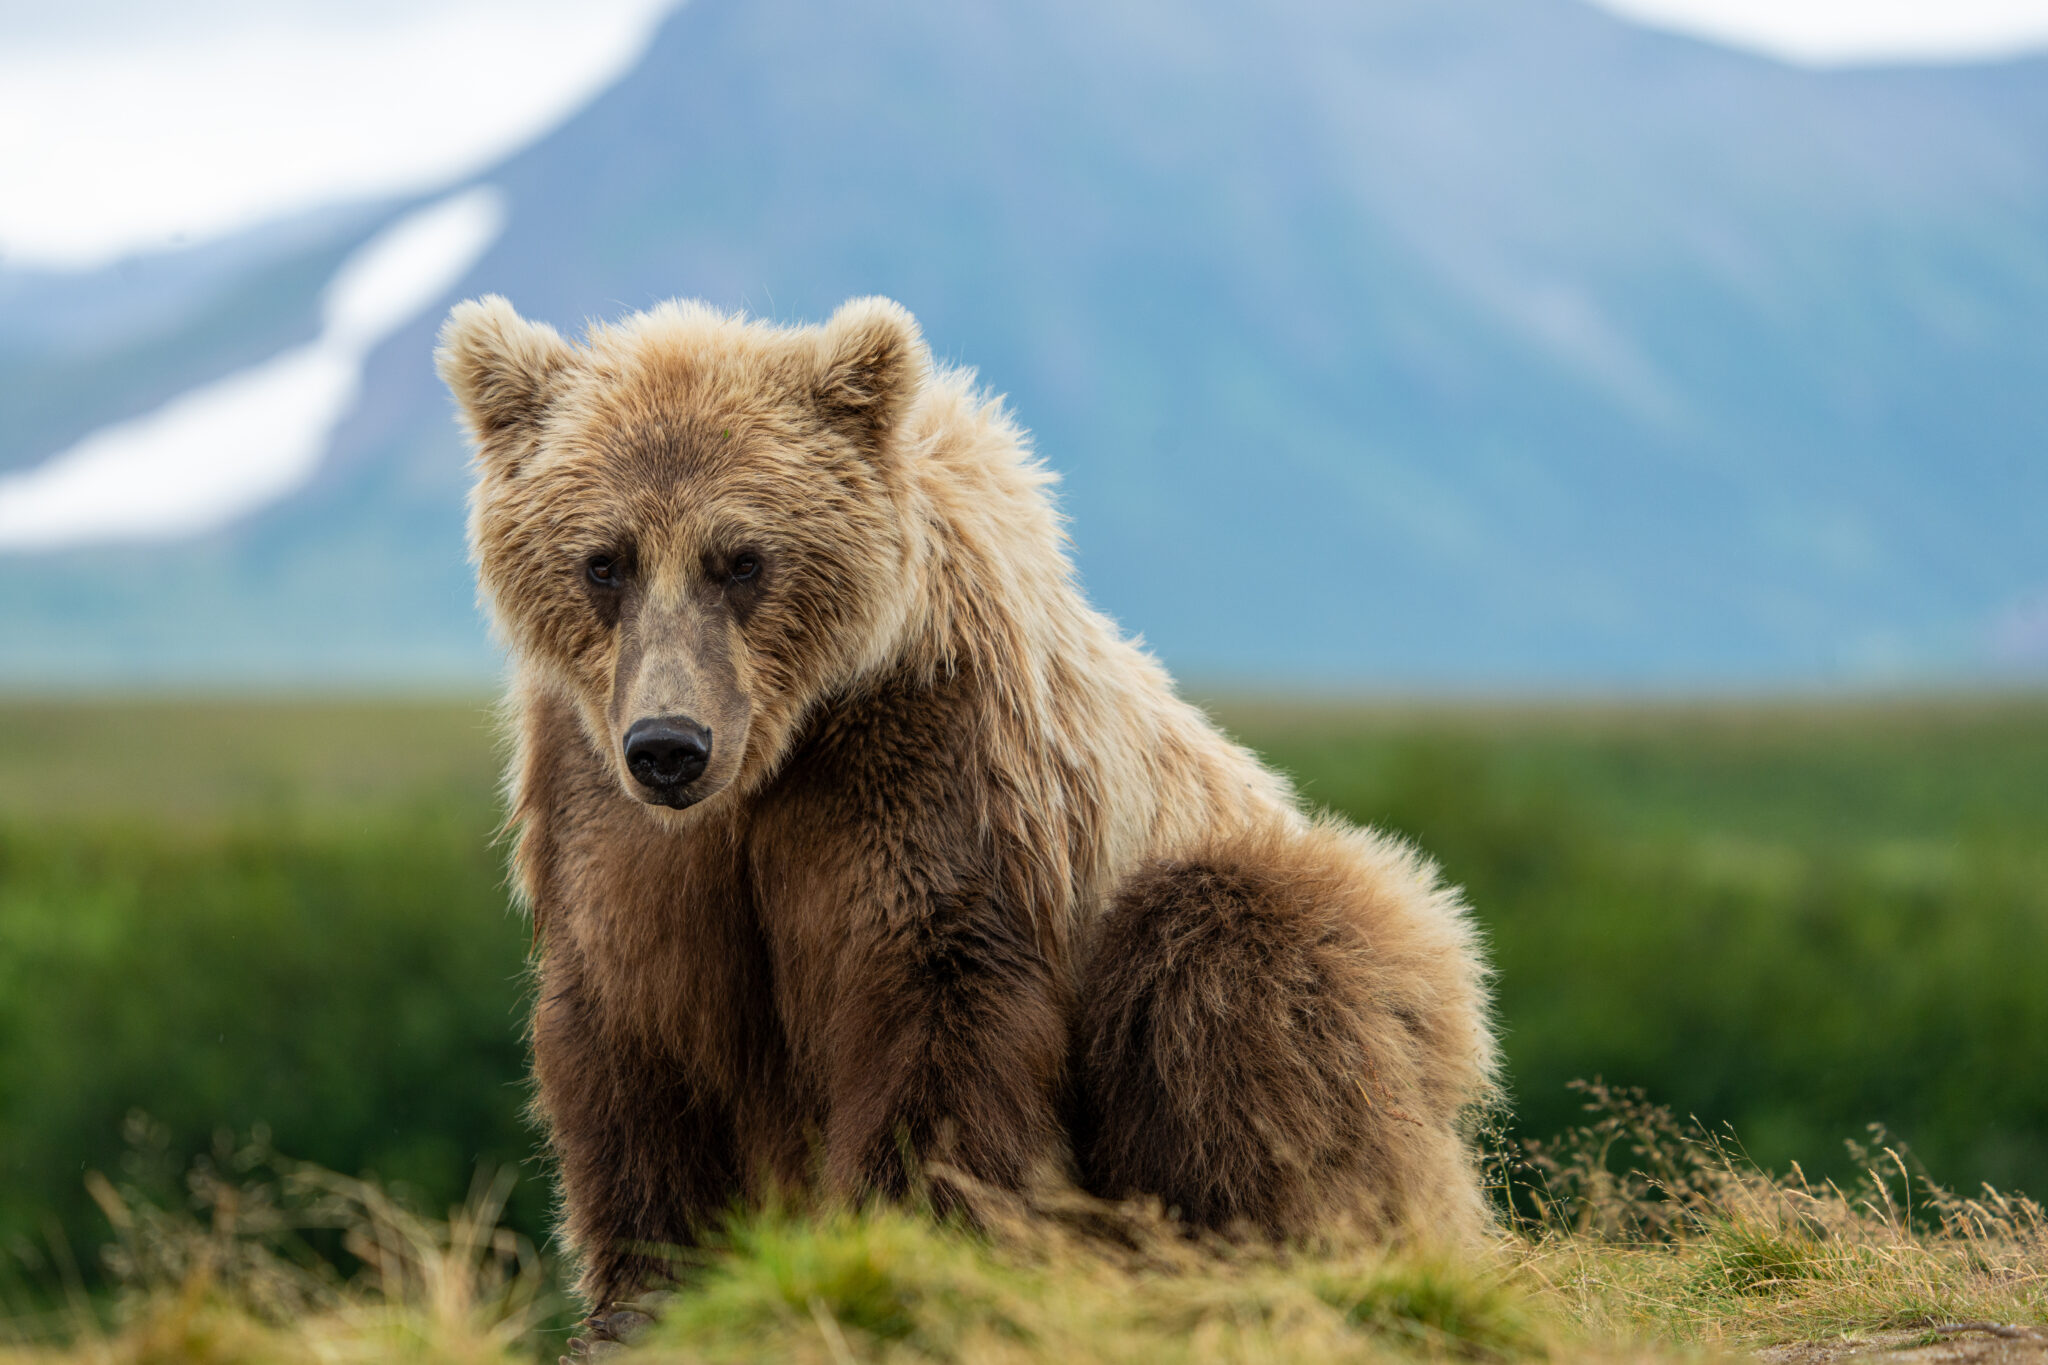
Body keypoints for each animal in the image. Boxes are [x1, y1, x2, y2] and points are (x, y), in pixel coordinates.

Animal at [436, 294, 1498, 1328]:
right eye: (604, 560)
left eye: (740, 559)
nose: (669, 744)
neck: (778, 749)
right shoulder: (604, 810)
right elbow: (638, 1035)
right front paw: (641, 1294)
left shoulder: (932, 769)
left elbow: (936, 1017)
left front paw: (909, 1242)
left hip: (1359, 946)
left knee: (1244, 971)